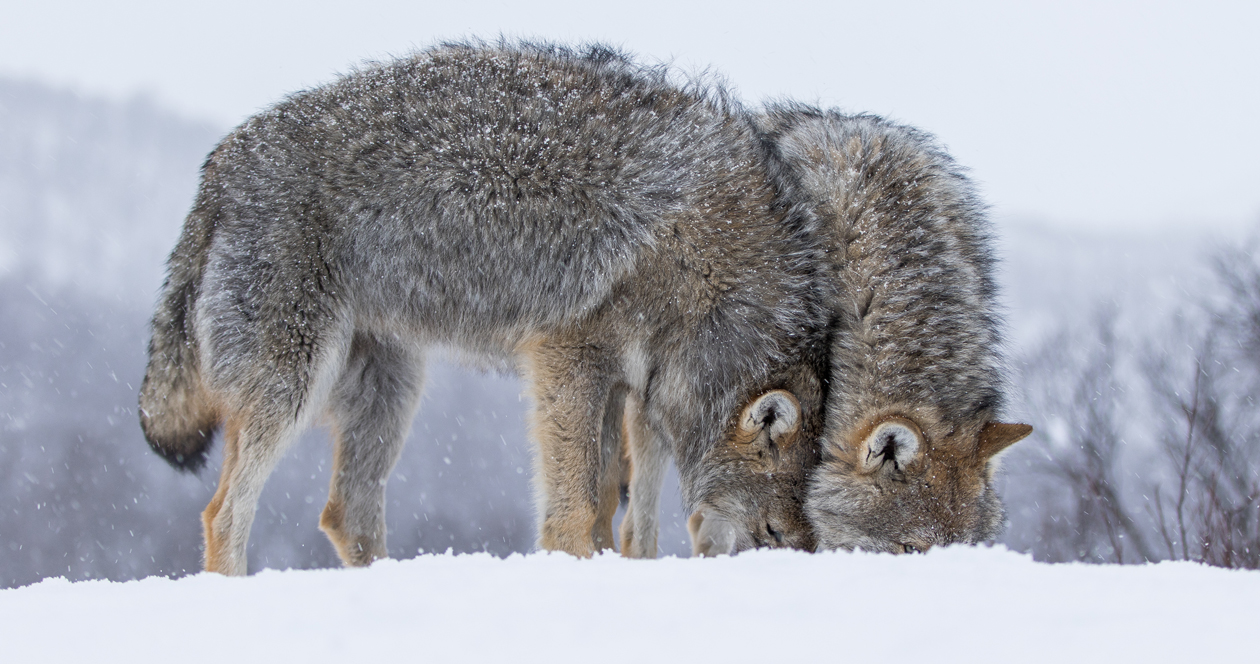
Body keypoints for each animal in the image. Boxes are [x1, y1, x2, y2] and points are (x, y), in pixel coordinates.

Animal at [138, 41, 829, 575]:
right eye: (773, 534)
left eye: (798, 539)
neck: (707, 256)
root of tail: (222, 163)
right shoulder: (568, 359)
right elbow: (577, 509)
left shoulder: (615, 383)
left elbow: (606, 504)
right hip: (294, 386)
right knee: (224, 512)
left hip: (391, 392)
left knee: (345, 514)